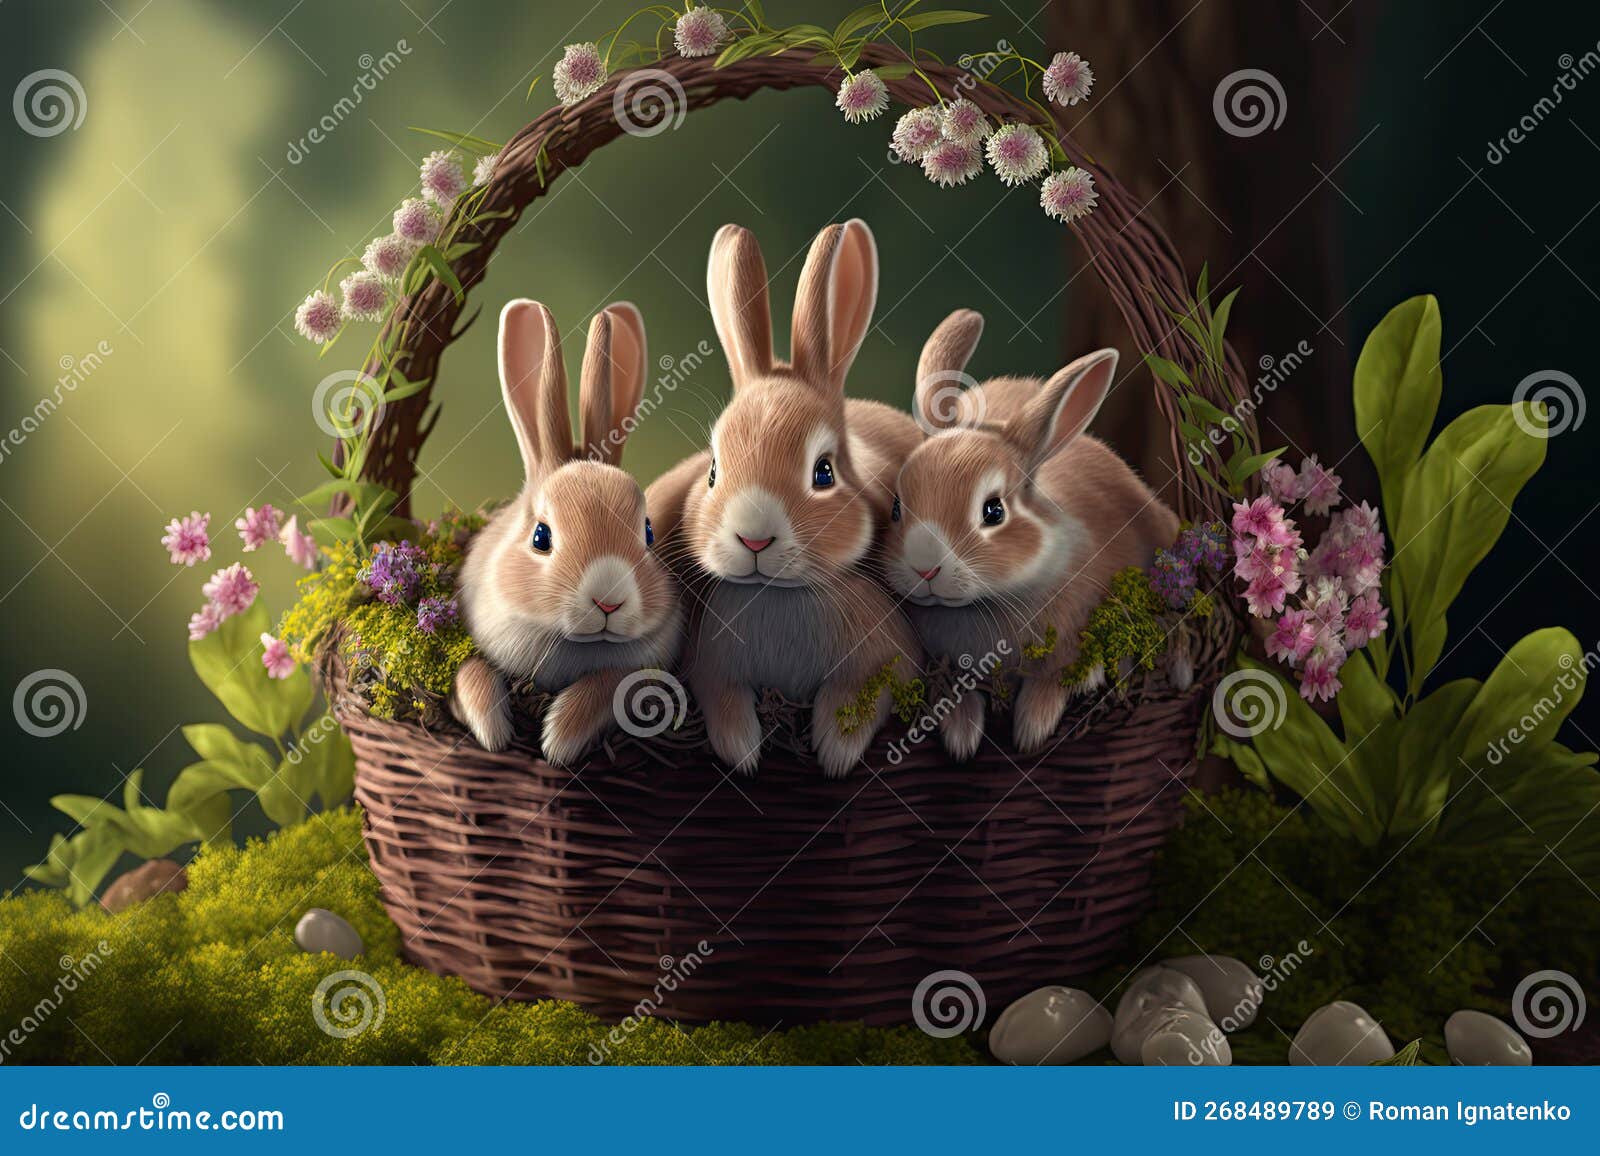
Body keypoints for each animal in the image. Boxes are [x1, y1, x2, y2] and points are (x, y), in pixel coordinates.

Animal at [453, 298, 685, 765]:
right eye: (541, 537)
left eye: (649, 533)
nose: (608, 600)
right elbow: (469, 673)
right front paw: (492, 731)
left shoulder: (640, 668)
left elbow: (608, 687)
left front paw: (559, 740)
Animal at [645, 219, 922, 779]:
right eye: (713, 471)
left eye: (824, 472)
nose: (753, 538)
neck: (777, 594)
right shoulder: (712, 668)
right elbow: (722, 699)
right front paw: (743, 751)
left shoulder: (888, 658)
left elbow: (860, 697)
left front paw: (836, 751)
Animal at [882, 308, 1179, 759]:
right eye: (897, 506)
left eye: (993, 511)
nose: (925, 570)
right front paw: (961, 734)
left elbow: (1055, 676)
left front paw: (1034, 727)